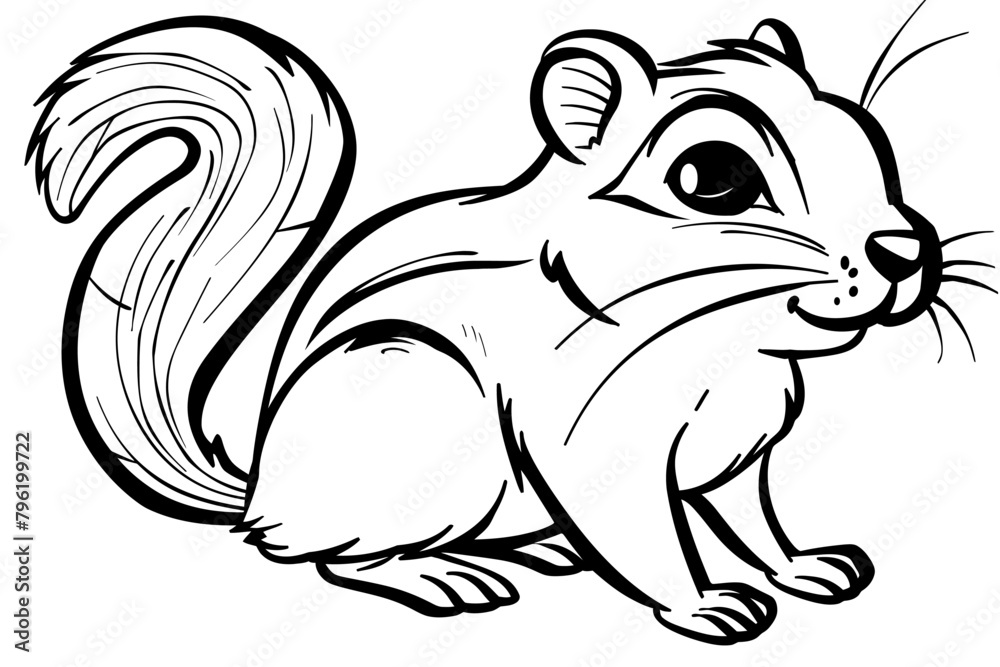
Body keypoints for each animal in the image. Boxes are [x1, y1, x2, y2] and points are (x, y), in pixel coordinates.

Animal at [28, 15, 982, 645]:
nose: (904, 250)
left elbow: (751, 514)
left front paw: (802, 563)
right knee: (330, 557)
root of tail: (261, 487)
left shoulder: (743, 447)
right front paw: (705, 602)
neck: (718, 345)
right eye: (711, 176)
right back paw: (441, 572)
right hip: (421, 406)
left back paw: (542, 551)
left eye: (868, 140)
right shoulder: (591, 444)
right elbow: (645, 532)